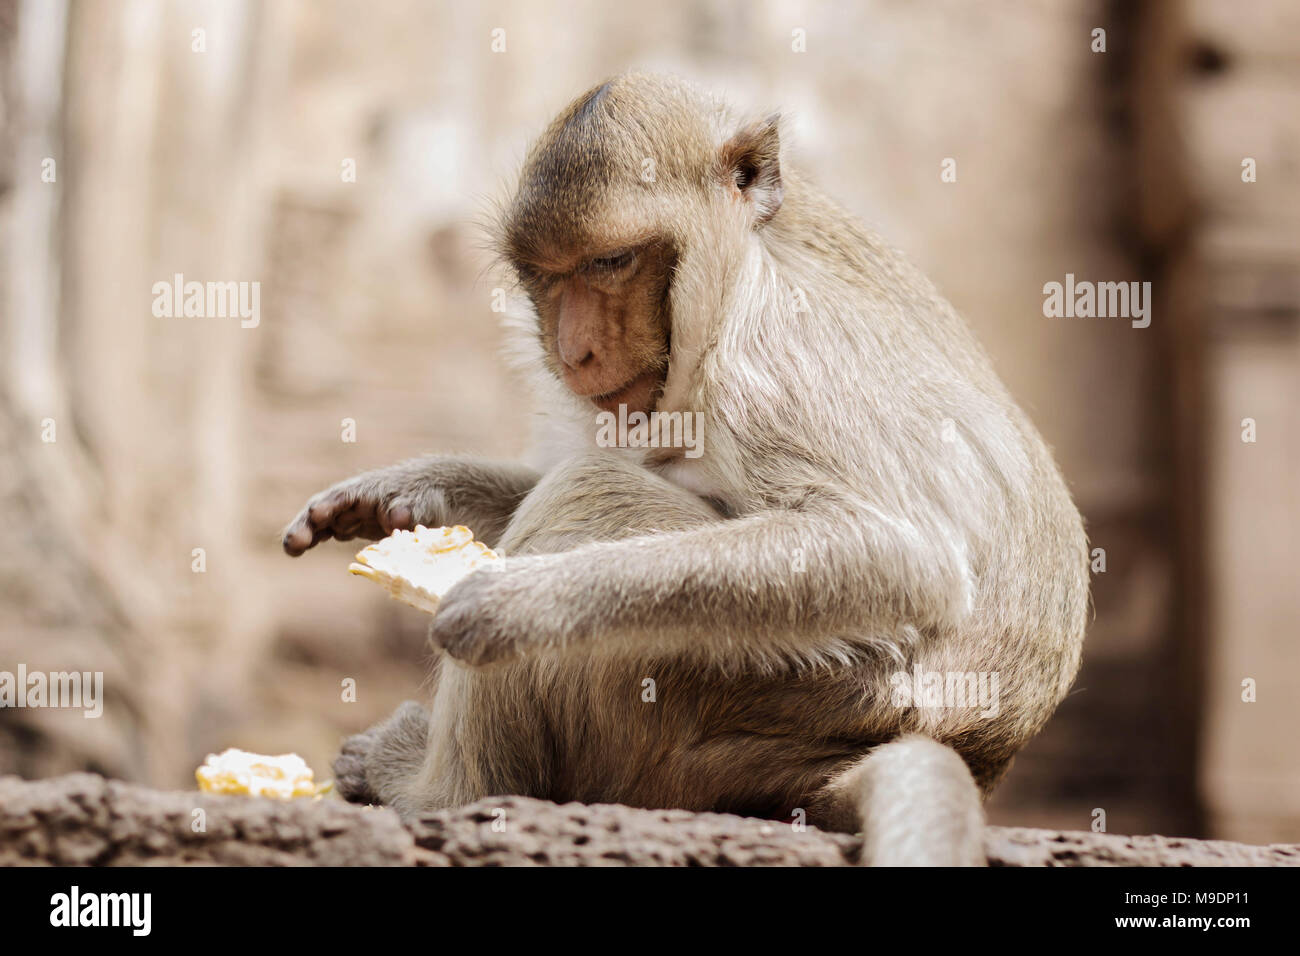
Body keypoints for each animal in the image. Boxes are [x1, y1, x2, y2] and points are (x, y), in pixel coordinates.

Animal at [282, 73, 1088, 866]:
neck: (742, 270)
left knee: (588, 492)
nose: (573, 351)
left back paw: (438, 791)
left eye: (610, 263)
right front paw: (407, 490)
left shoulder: (766, 365)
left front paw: (514, 604)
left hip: (758, 692)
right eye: (543, 277)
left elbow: (902, 557)